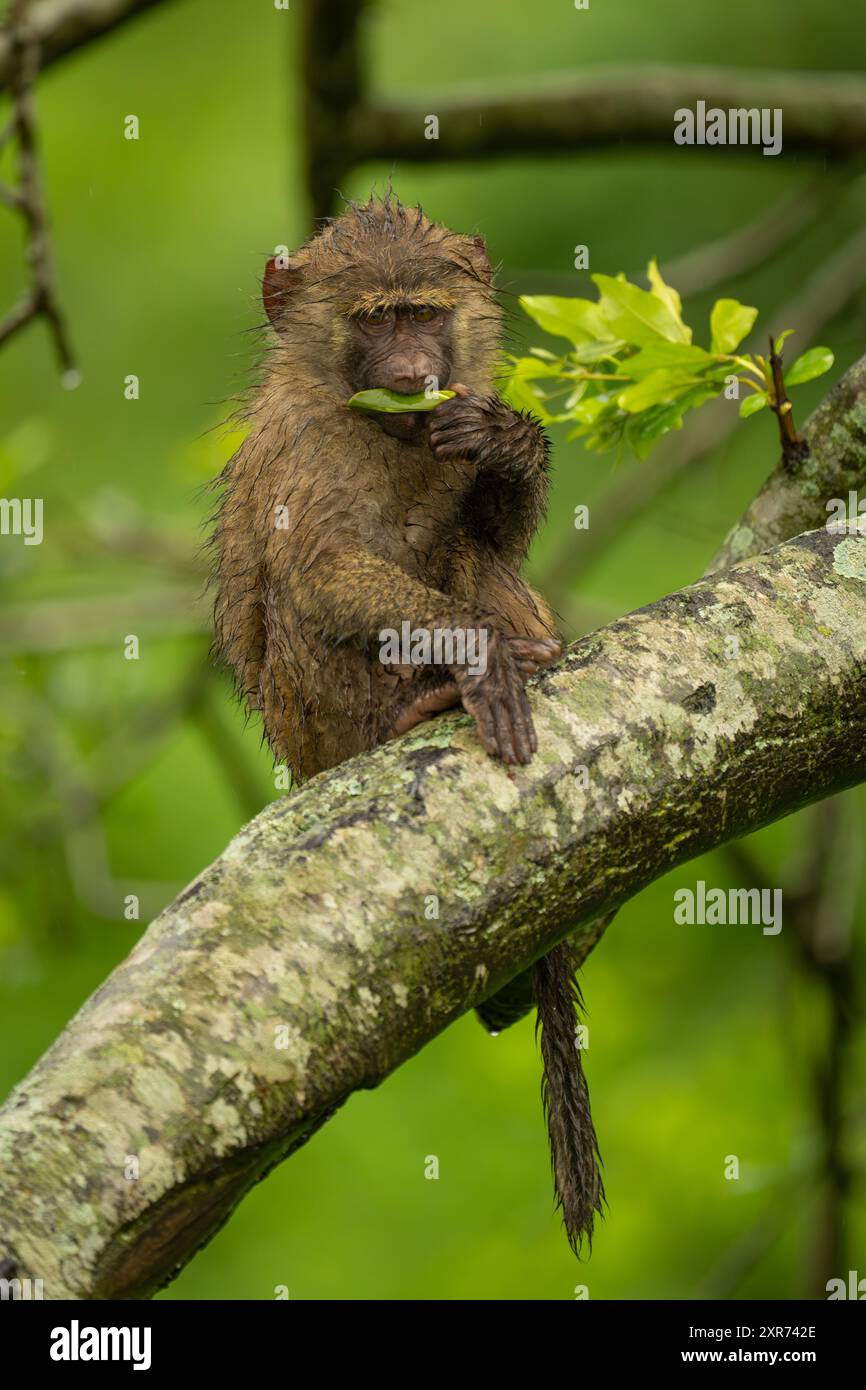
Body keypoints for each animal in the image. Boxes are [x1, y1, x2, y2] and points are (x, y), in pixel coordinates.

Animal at [210, 193, 604, 1251]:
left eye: (425, 313)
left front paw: (507, 443)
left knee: (472, 550)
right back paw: (425, 704)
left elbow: (492, 529)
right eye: (379, 320)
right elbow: (321, 574)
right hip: (319, 723)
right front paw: (475, 657)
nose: (413, 371)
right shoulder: (305, 450)